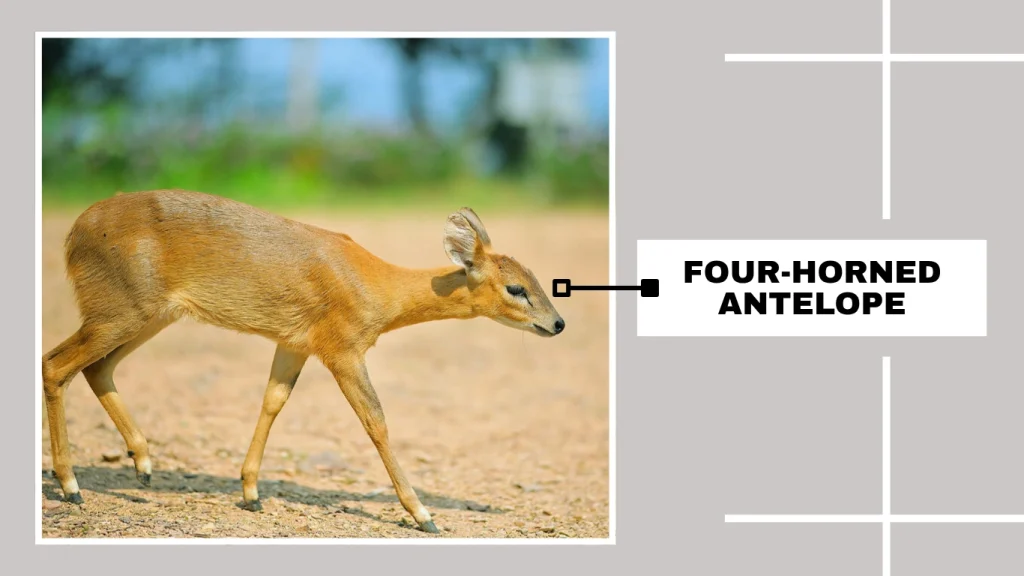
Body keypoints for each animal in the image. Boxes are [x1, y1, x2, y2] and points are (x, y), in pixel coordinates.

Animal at [41, 189, 565, 534]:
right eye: (515, 287)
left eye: (537, 279)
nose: (558, 323)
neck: (376, 284)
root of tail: (74, 233)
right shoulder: (343, 350)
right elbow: (376, 421)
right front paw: (424, 515)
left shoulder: (294, 343)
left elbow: (273, 401)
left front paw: (251, 493)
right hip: (120, 312)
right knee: (55, 365)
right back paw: (70, 485)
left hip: (149, 315)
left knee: (95, 368)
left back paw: (143, 465)